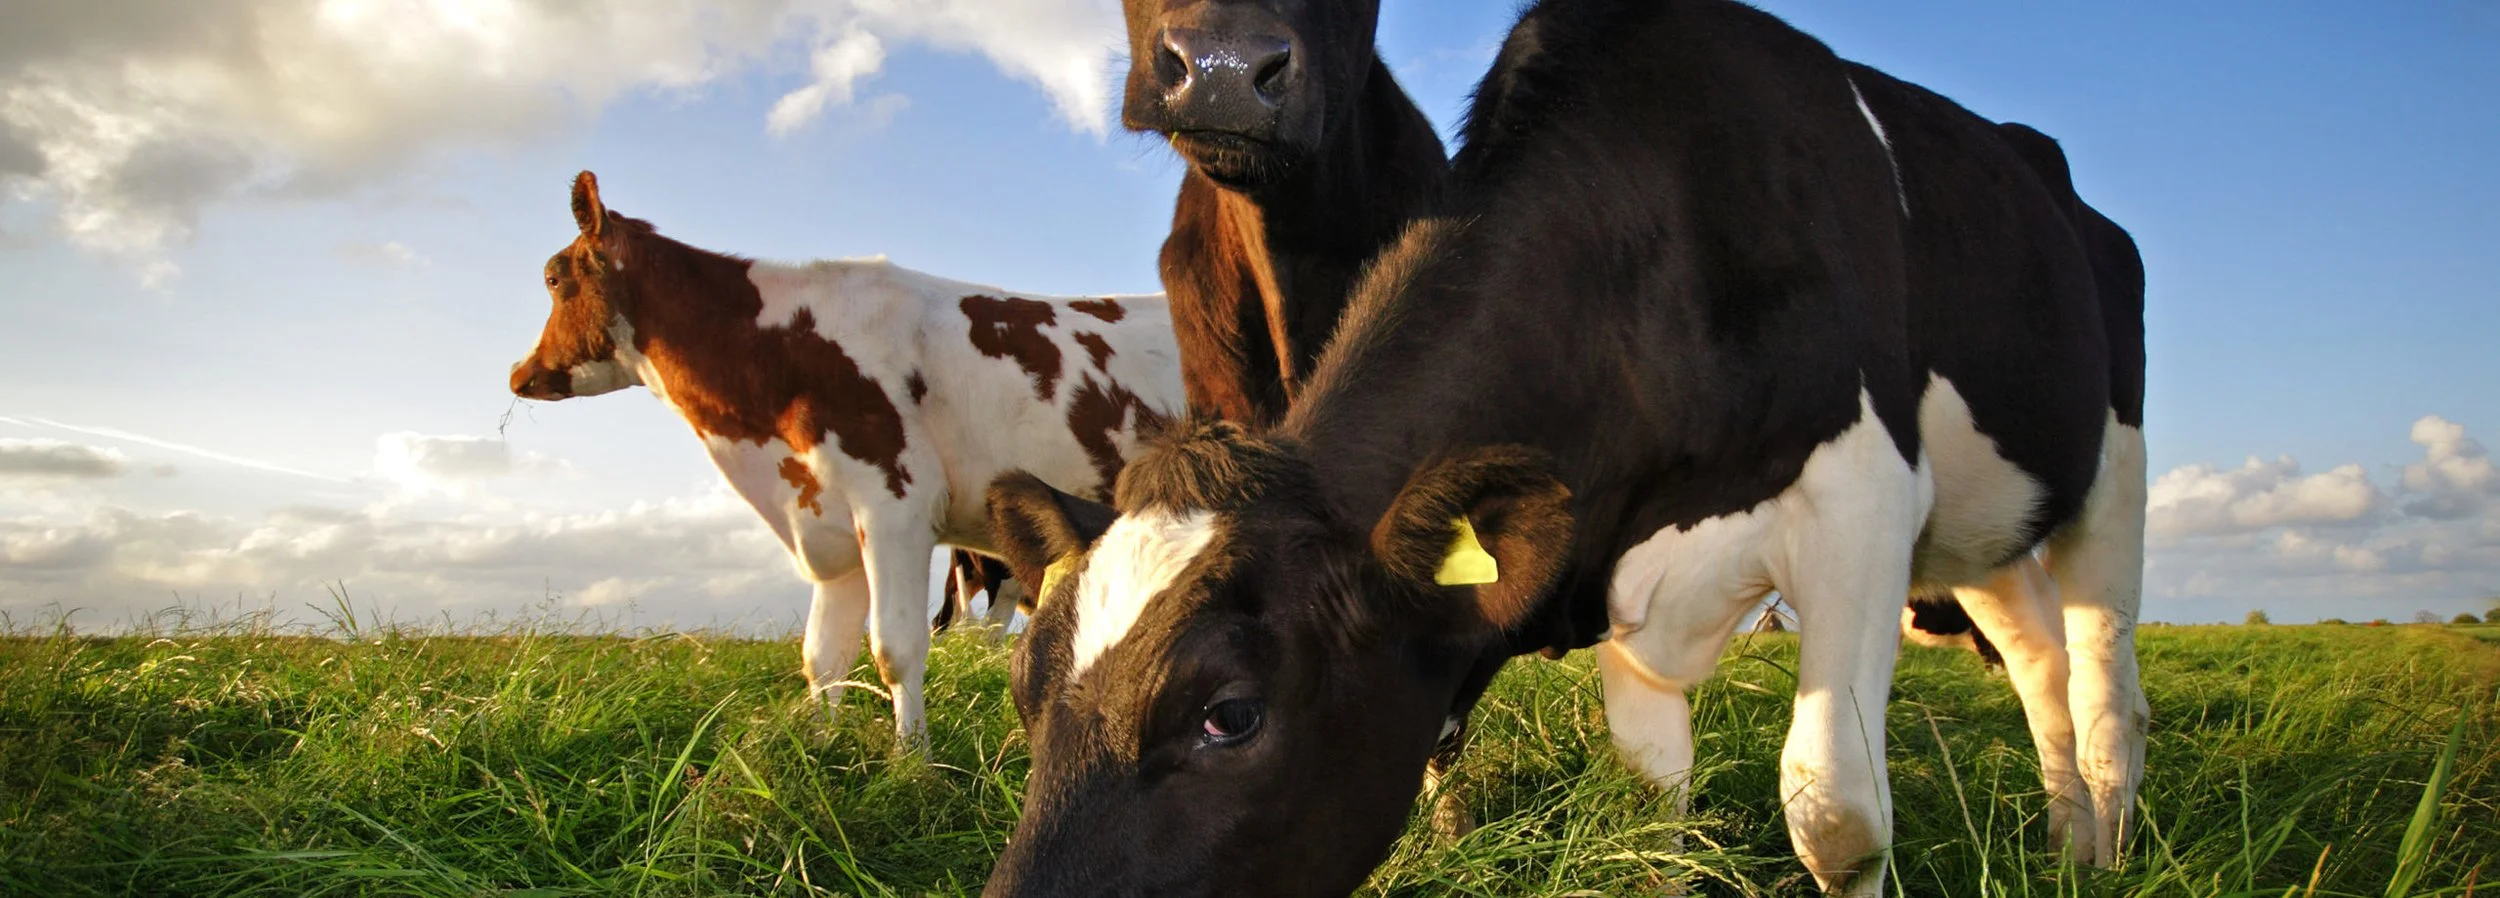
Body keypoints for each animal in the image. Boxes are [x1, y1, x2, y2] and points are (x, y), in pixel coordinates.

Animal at [509, 172, 1184, 749]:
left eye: (552, 278)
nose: (521, 374)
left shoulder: (894, 506)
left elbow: (895, 649)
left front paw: (912, 764)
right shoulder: (827, 520)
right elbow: (822, 658)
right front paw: (819, 748)